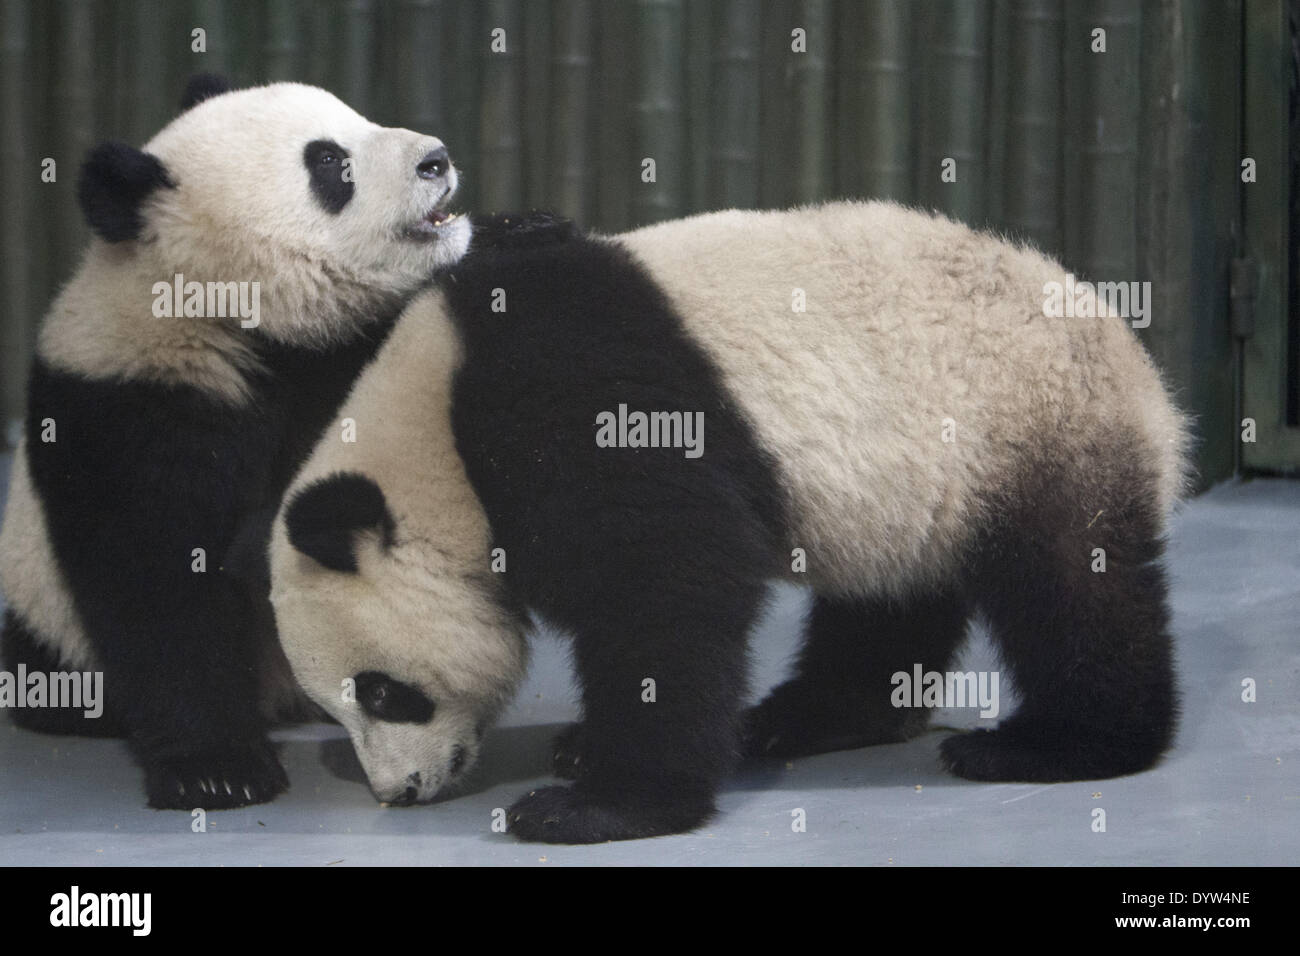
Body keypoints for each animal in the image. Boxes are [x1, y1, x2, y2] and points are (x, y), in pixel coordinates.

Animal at [0, 73, 469, 809]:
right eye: (329, 163)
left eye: (355, 118)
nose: (436, 159)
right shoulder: (131, 406)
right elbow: (156, 583)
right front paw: (216, 770)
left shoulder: (343, 359)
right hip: (44, 615)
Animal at [270, 202, 1191, 843]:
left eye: (382, 692)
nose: (401, 793)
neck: (435, 431)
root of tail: (1146, 379)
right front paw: (582, 749)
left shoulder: (572, 398)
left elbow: (667, 583)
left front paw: (594, 805)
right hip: (919, 486)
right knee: (888, 600)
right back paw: (810, 717)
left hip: (1032, 426)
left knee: (1072, 589)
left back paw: (1054, 745)